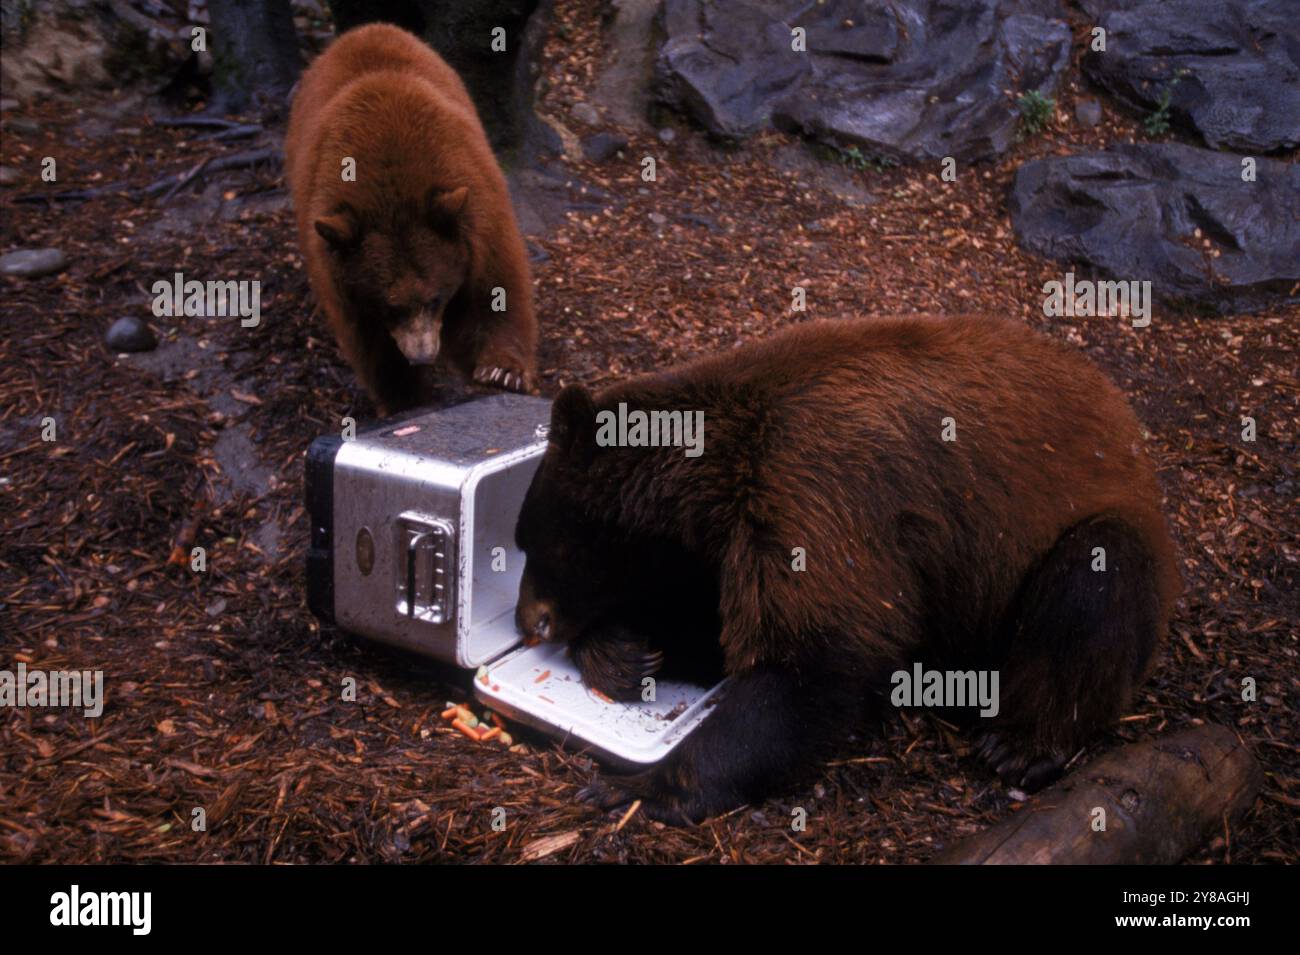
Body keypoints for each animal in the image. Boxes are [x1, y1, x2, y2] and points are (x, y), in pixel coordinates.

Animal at [285, 23, 537, 415]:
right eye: (391, 306)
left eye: (435, 297)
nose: (422, 355)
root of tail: (367, 29)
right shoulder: (337, 268)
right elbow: (369, 342)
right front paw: (405, 396)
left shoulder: (473, 202)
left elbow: (497, 284)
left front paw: (502, 371)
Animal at [513, 314, 1180, 825]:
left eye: (529, 541)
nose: (528, 621)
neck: (714, 482)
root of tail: (1138, 445)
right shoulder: (733, 543)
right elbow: (719, 631)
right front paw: (626, 652)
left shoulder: (815, 491)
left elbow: (812, 663)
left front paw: (633, 786)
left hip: (1082, 540)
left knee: (1094, 584)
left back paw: (1022, 744)